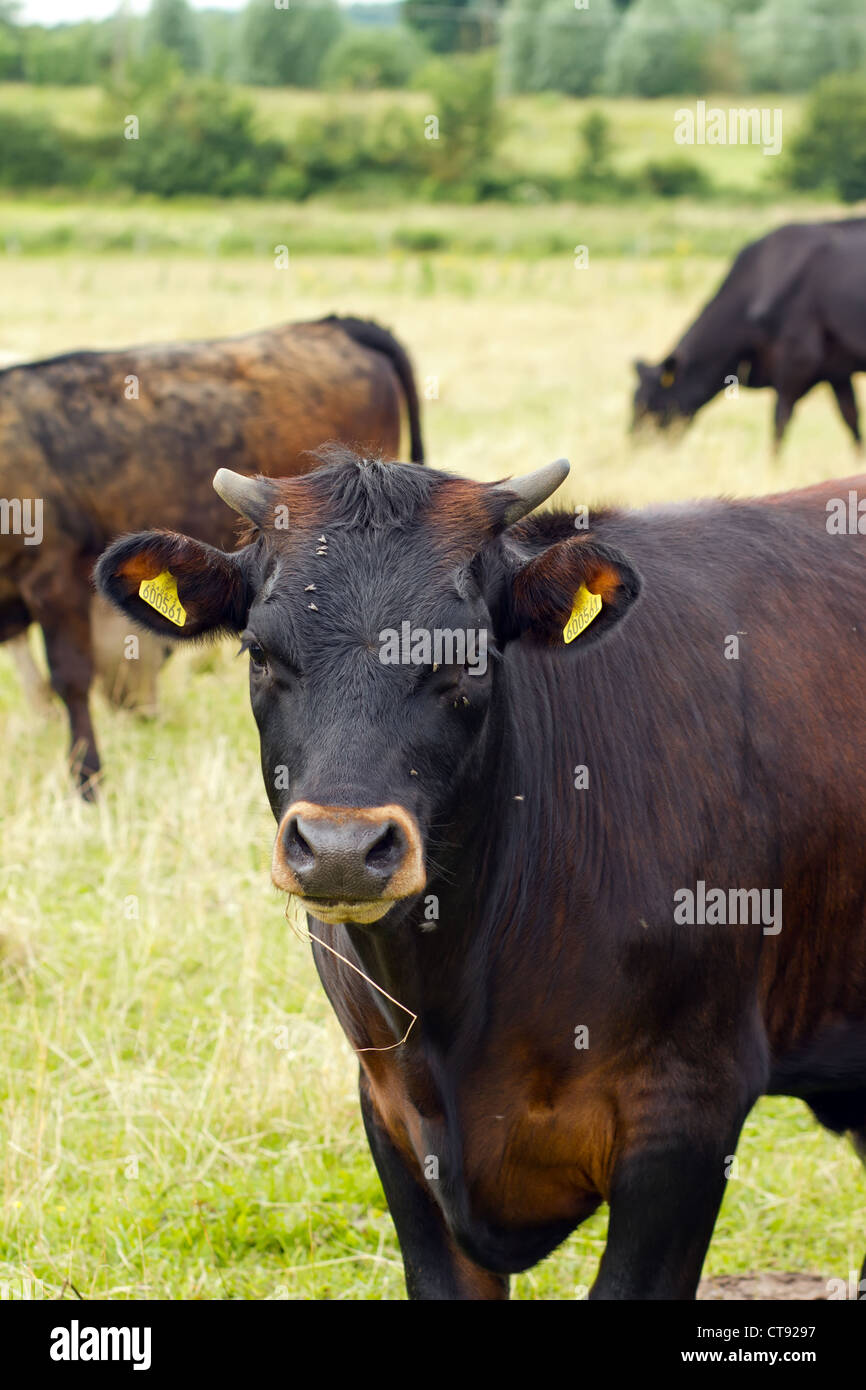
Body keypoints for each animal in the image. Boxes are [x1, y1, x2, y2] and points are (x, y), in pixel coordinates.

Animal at [633, 218, 866, 451]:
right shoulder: (837, 371)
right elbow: (851, 420)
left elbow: (780, 419)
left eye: (650, 404)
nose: (634, 446)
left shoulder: (798, 359)